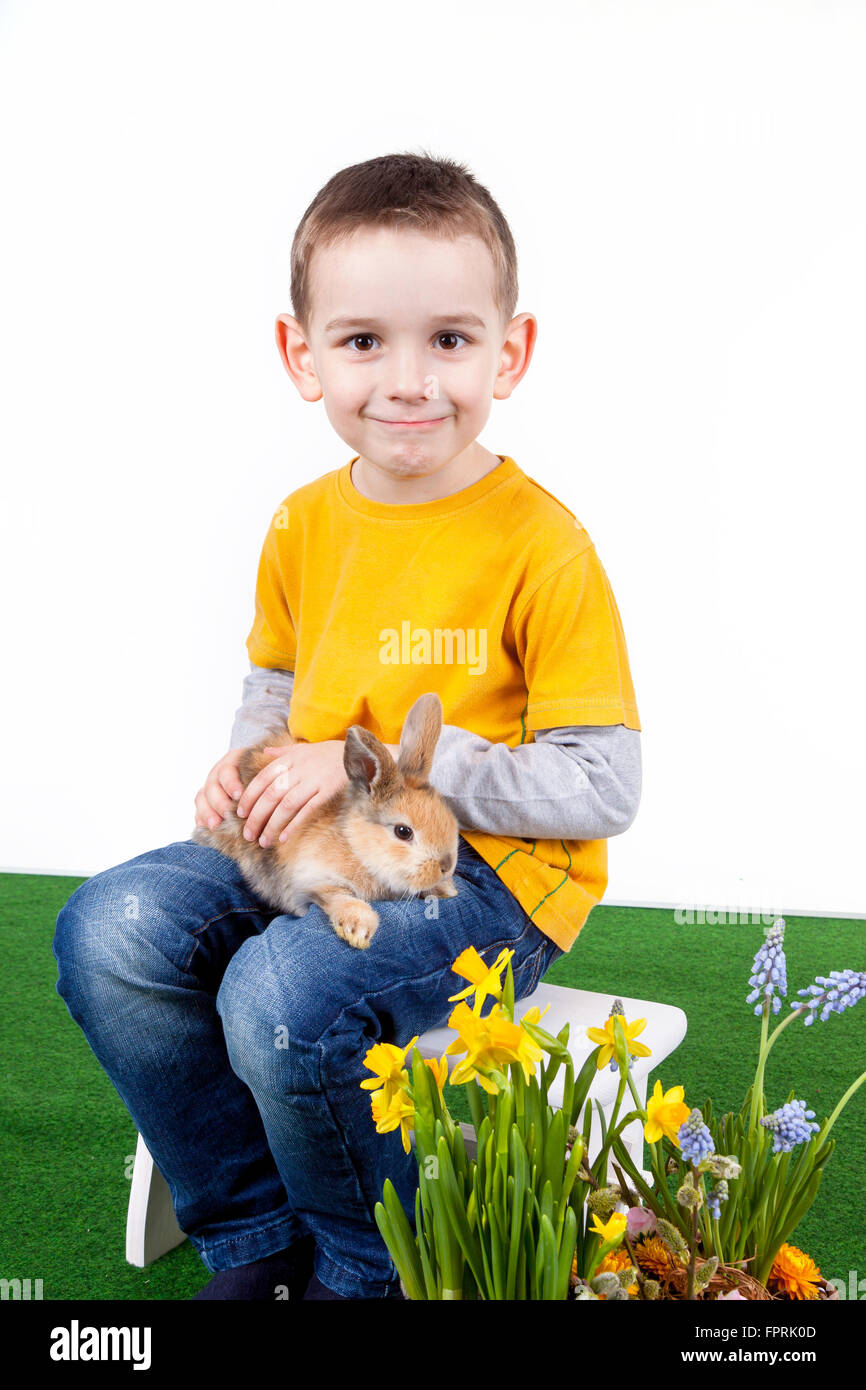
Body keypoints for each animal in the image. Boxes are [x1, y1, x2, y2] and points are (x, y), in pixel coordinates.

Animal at [190, 692, 461, 950]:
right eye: (403, 831)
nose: (446, 866)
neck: (355, 844)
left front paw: (446, 890)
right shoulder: (315, 880)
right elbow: (341, 899)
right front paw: (357, 932)